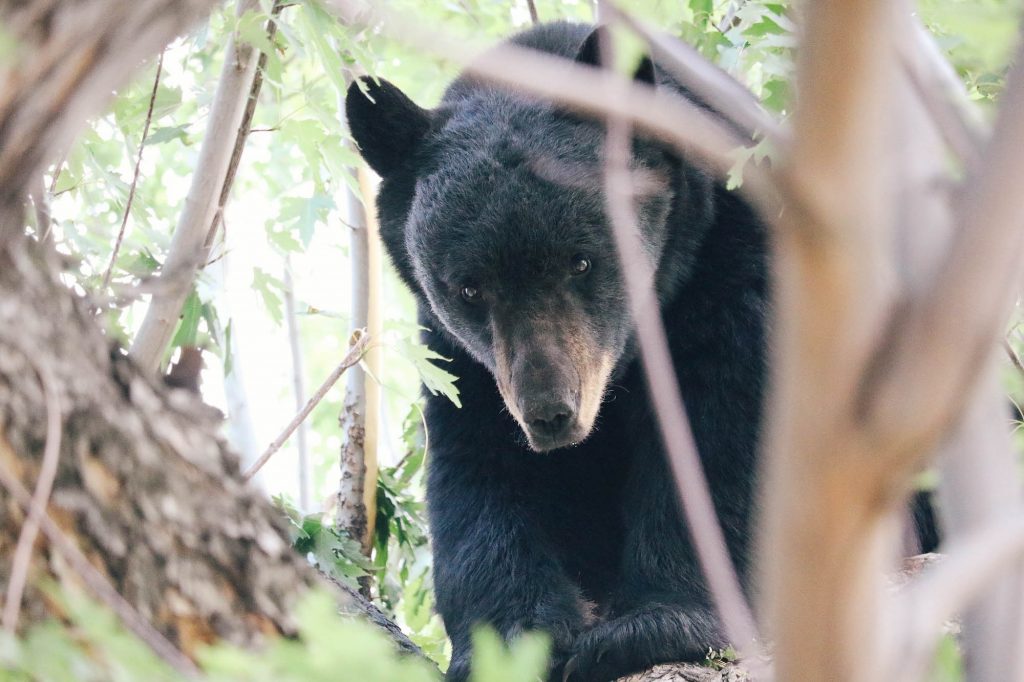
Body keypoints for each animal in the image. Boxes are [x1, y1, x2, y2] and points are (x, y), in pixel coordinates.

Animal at [345, 21, 769, 682]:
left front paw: (654, 626)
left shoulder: (733, 258)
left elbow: (721, 429)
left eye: (583, 260)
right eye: (468, 287)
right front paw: (514, 638)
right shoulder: (464, 360)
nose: (552, 414)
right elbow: (481, 471)